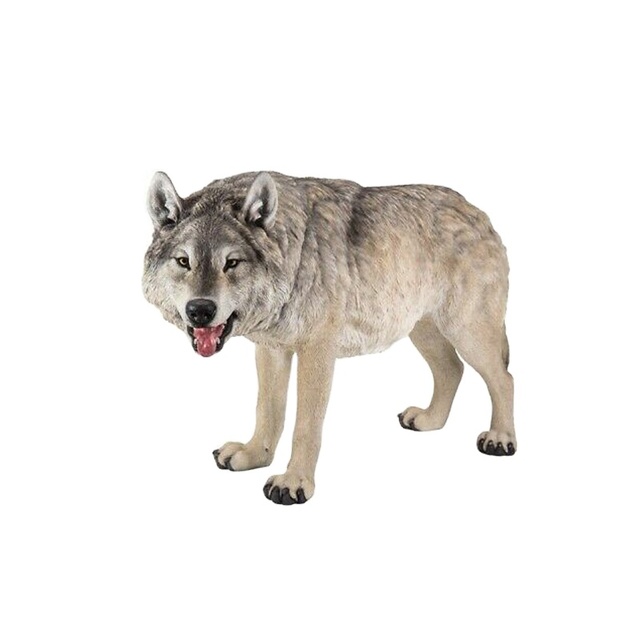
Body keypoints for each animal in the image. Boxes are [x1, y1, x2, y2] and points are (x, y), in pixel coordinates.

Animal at [143, 170, 516, 505]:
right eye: (184, 261)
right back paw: (429, 420)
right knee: (452, 369)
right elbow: (268, 410)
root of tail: (478, 213)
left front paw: (294, 483)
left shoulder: (316, 352)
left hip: (467, 331)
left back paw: (500, 438)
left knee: (503, 378)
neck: (292, 259)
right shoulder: (272, 348)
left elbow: (305, 426)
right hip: (422, 330)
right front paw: (254, 455)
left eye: (231, 263)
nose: (200, 310)